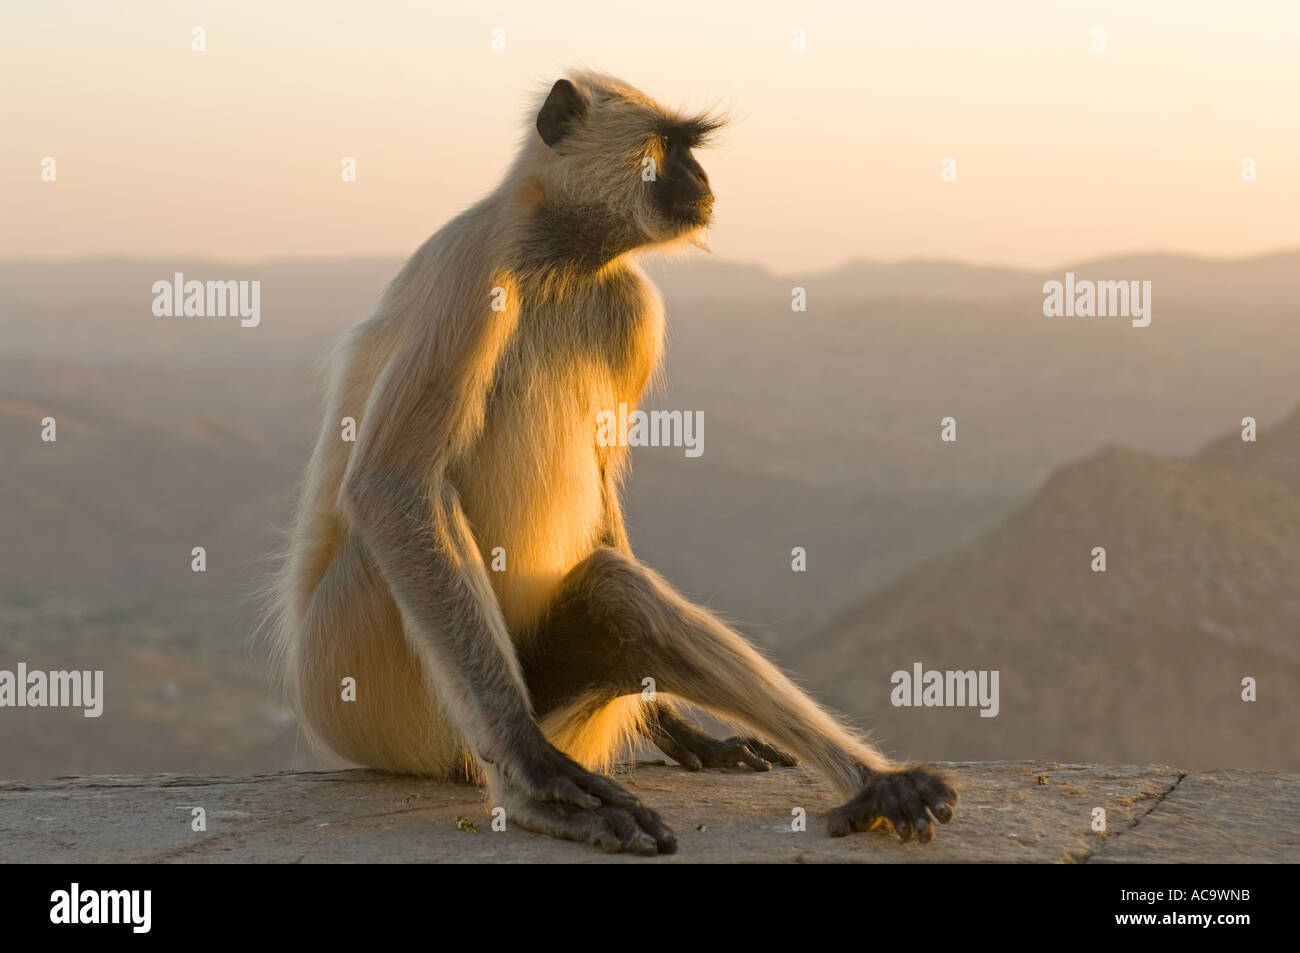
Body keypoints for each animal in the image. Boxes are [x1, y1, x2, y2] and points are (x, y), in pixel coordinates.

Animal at [266, 71, 956, 855]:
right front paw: (537, 770)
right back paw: (528, 790)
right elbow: (391, 484)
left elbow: (599, 485)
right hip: (368, 689)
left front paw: (678, 727)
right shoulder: (471, 271)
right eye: (670, 144)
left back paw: (876, 784)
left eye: (691, 146)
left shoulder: (632, 306)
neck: (561, 259)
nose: (703, 180)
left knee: (619, 590)